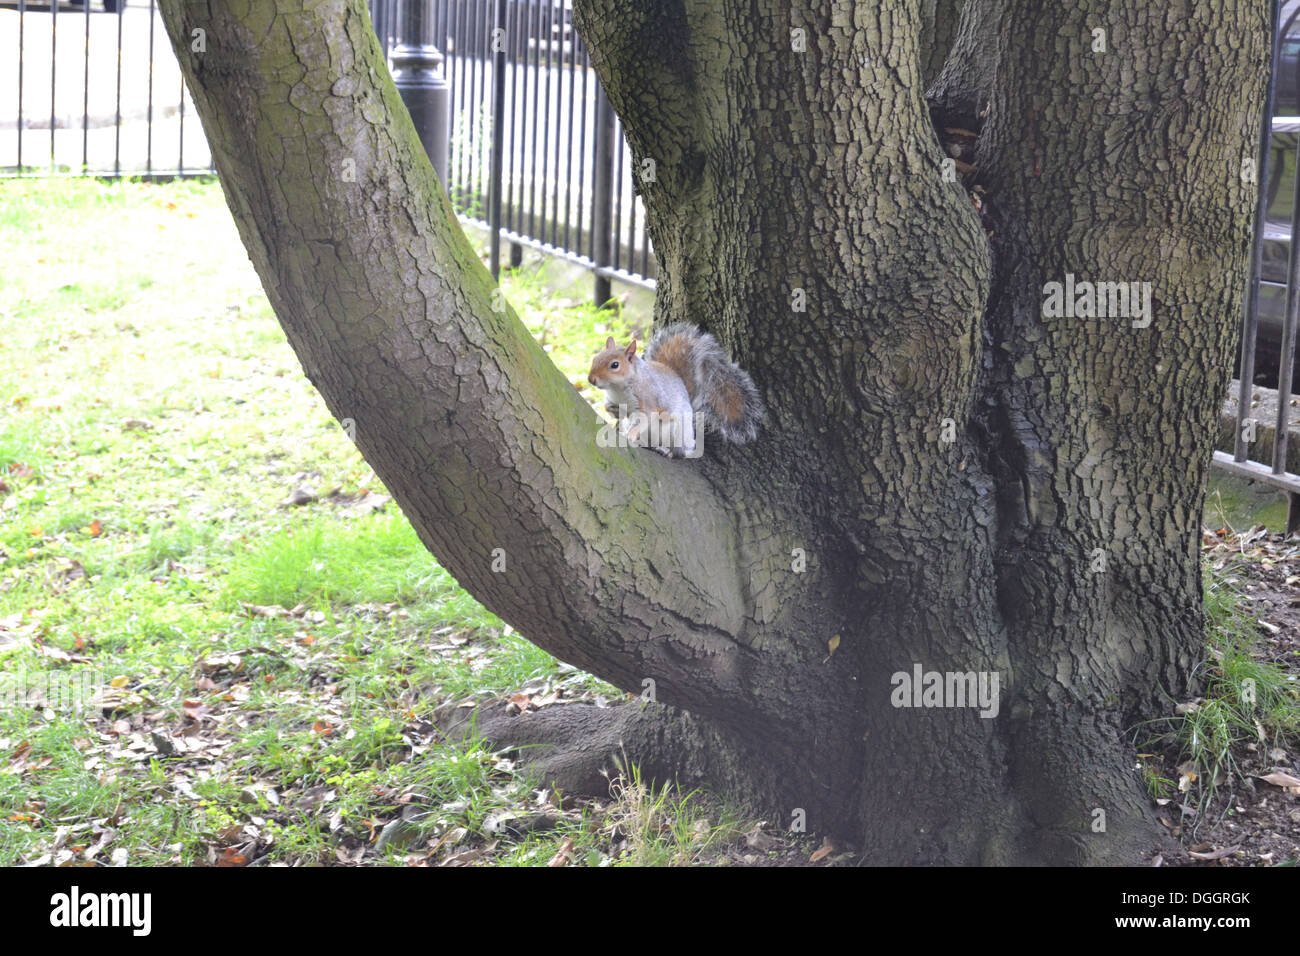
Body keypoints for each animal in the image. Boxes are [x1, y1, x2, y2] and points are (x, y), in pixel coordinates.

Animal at [587, 322, 765, 457]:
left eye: (615, 365)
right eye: (595, 358)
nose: (591, 379)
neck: (618, 389)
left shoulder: (648, 399)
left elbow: (645, 418)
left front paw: (631, 433)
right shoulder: (614, 399)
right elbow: (613, 409)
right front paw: (611, 410)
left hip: (678, 433)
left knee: (682, 452)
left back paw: (668, 451)